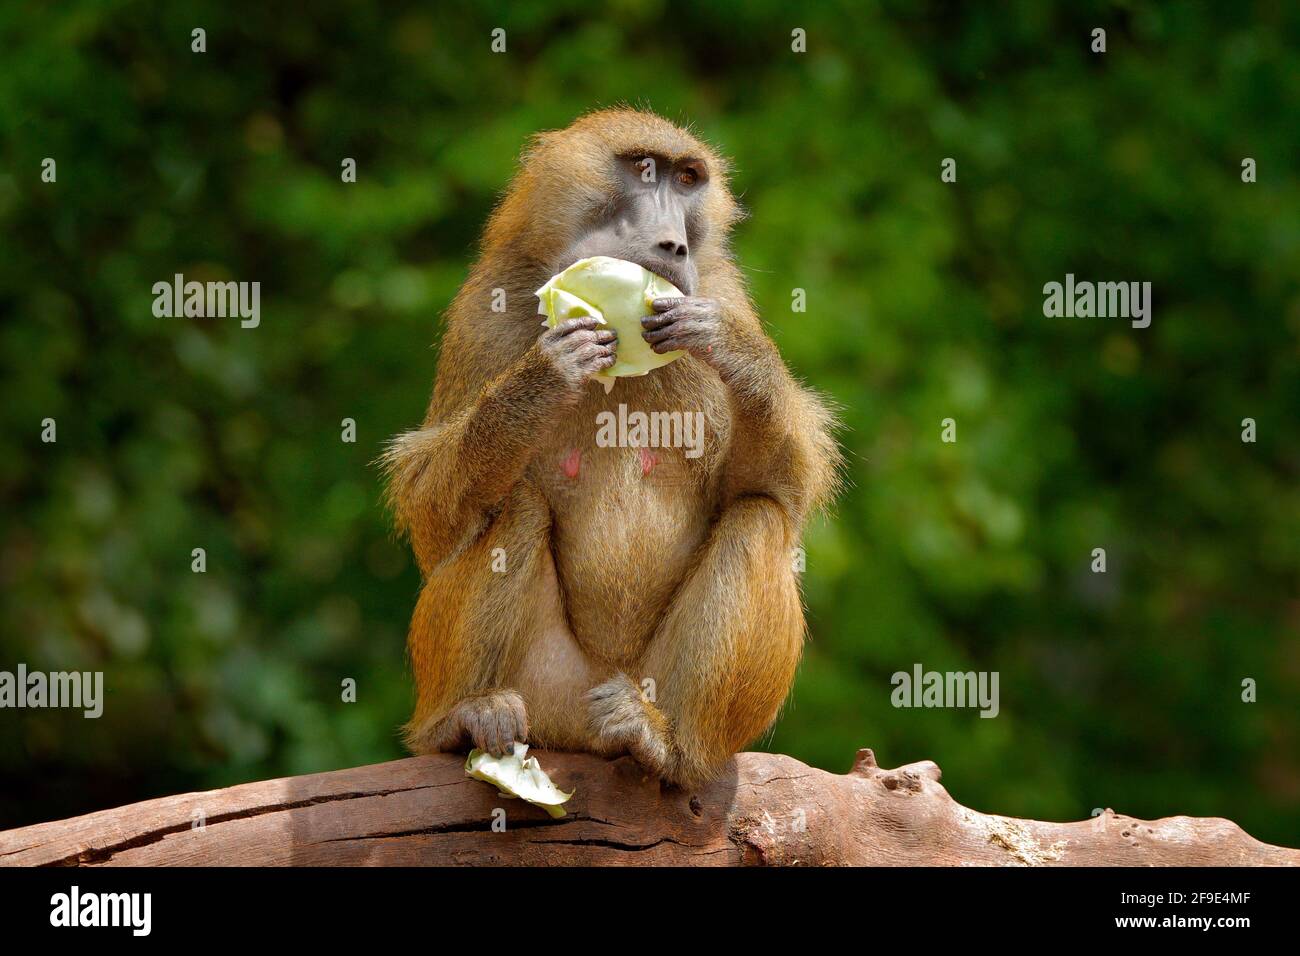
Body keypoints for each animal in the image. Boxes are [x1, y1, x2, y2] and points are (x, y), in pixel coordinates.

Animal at [383, 109, 840, 787]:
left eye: (687, 179)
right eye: (644, 169)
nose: (674, 245)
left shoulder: (723, 293)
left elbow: (776, 484)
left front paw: (729, 348)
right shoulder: (483, 313)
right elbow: (431, 517)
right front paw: (543, 376)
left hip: (643, 682)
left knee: (758, 519)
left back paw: (668, 745)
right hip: (543, 684)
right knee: (515, 507)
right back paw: (459, 721)